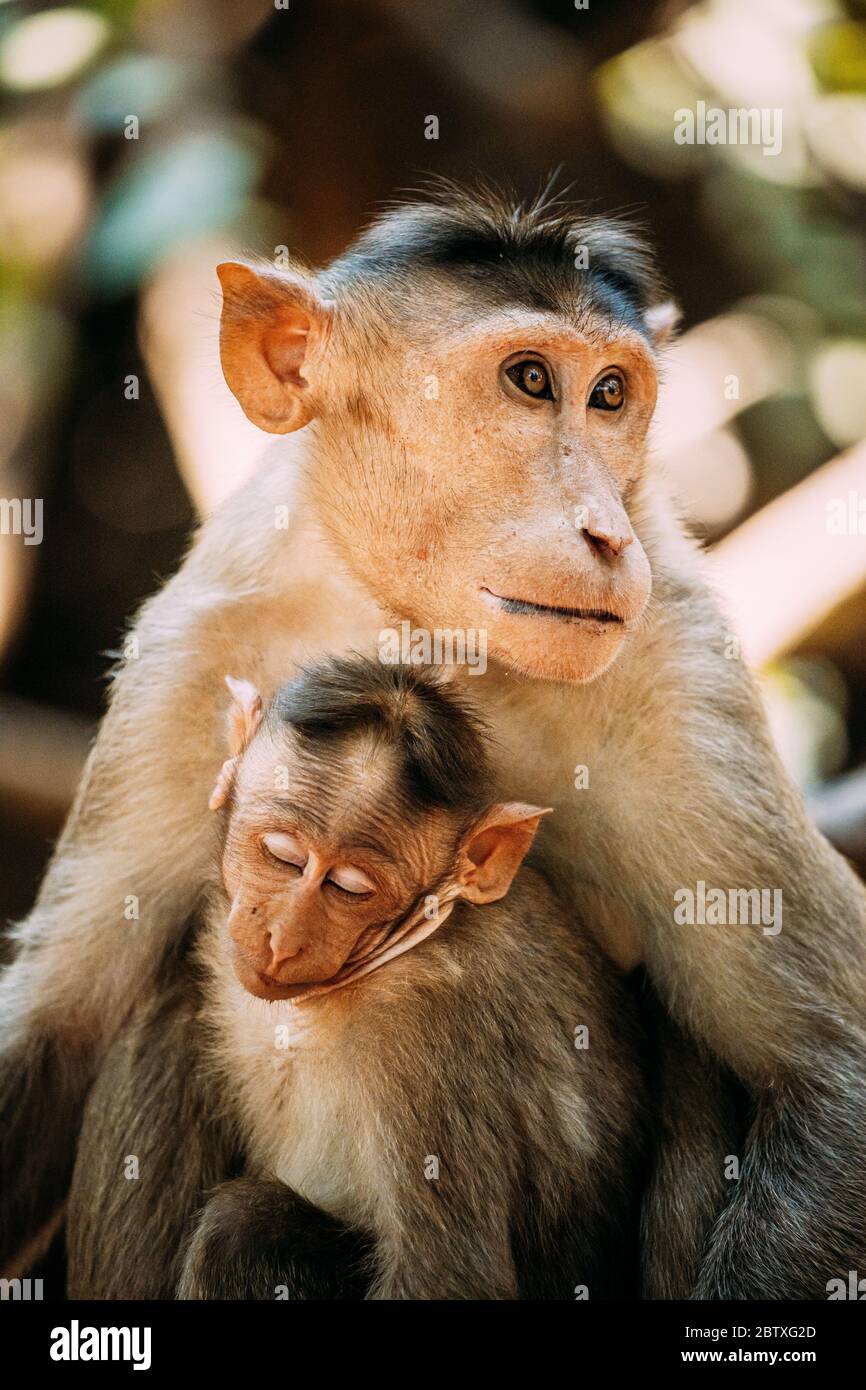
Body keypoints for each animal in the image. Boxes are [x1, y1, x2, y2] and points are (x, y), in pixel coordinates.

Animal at [67, 657, 647, 1300]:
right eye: (281, 854)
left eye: (350, 888)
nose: (281, 937)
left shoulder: (426, 1033)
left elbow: (447, 1275)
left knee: (243, 1226)